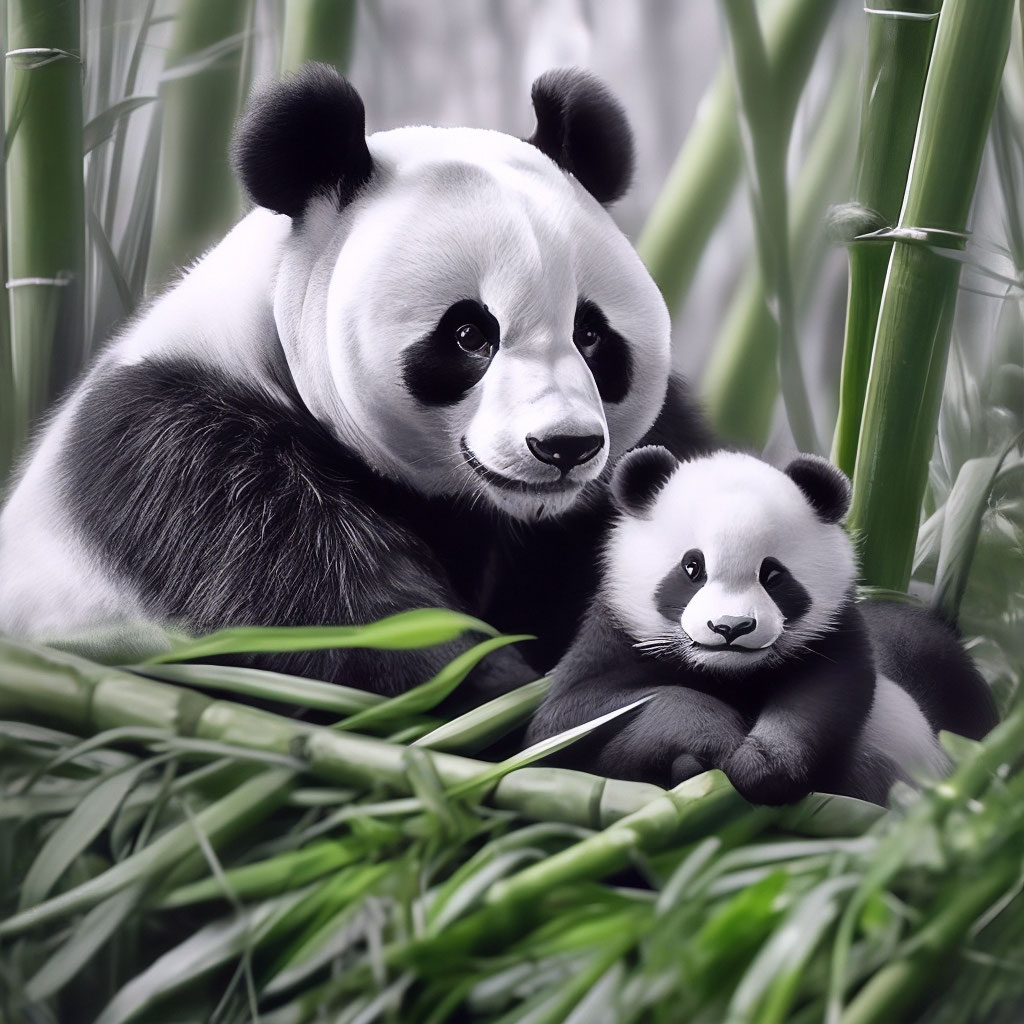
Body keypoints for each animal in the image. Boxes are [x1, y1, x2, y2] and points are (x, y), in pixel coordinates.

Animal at [526, 445, 998, 805]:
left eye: (772, 574)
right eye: (692, 567)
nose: (730, 627)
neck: (728, 673)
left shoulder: (836, 638)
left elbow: (816, 704)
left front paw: (759, 767)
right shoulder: (613, 634)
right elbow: (566, 723)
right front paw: (714, 738)